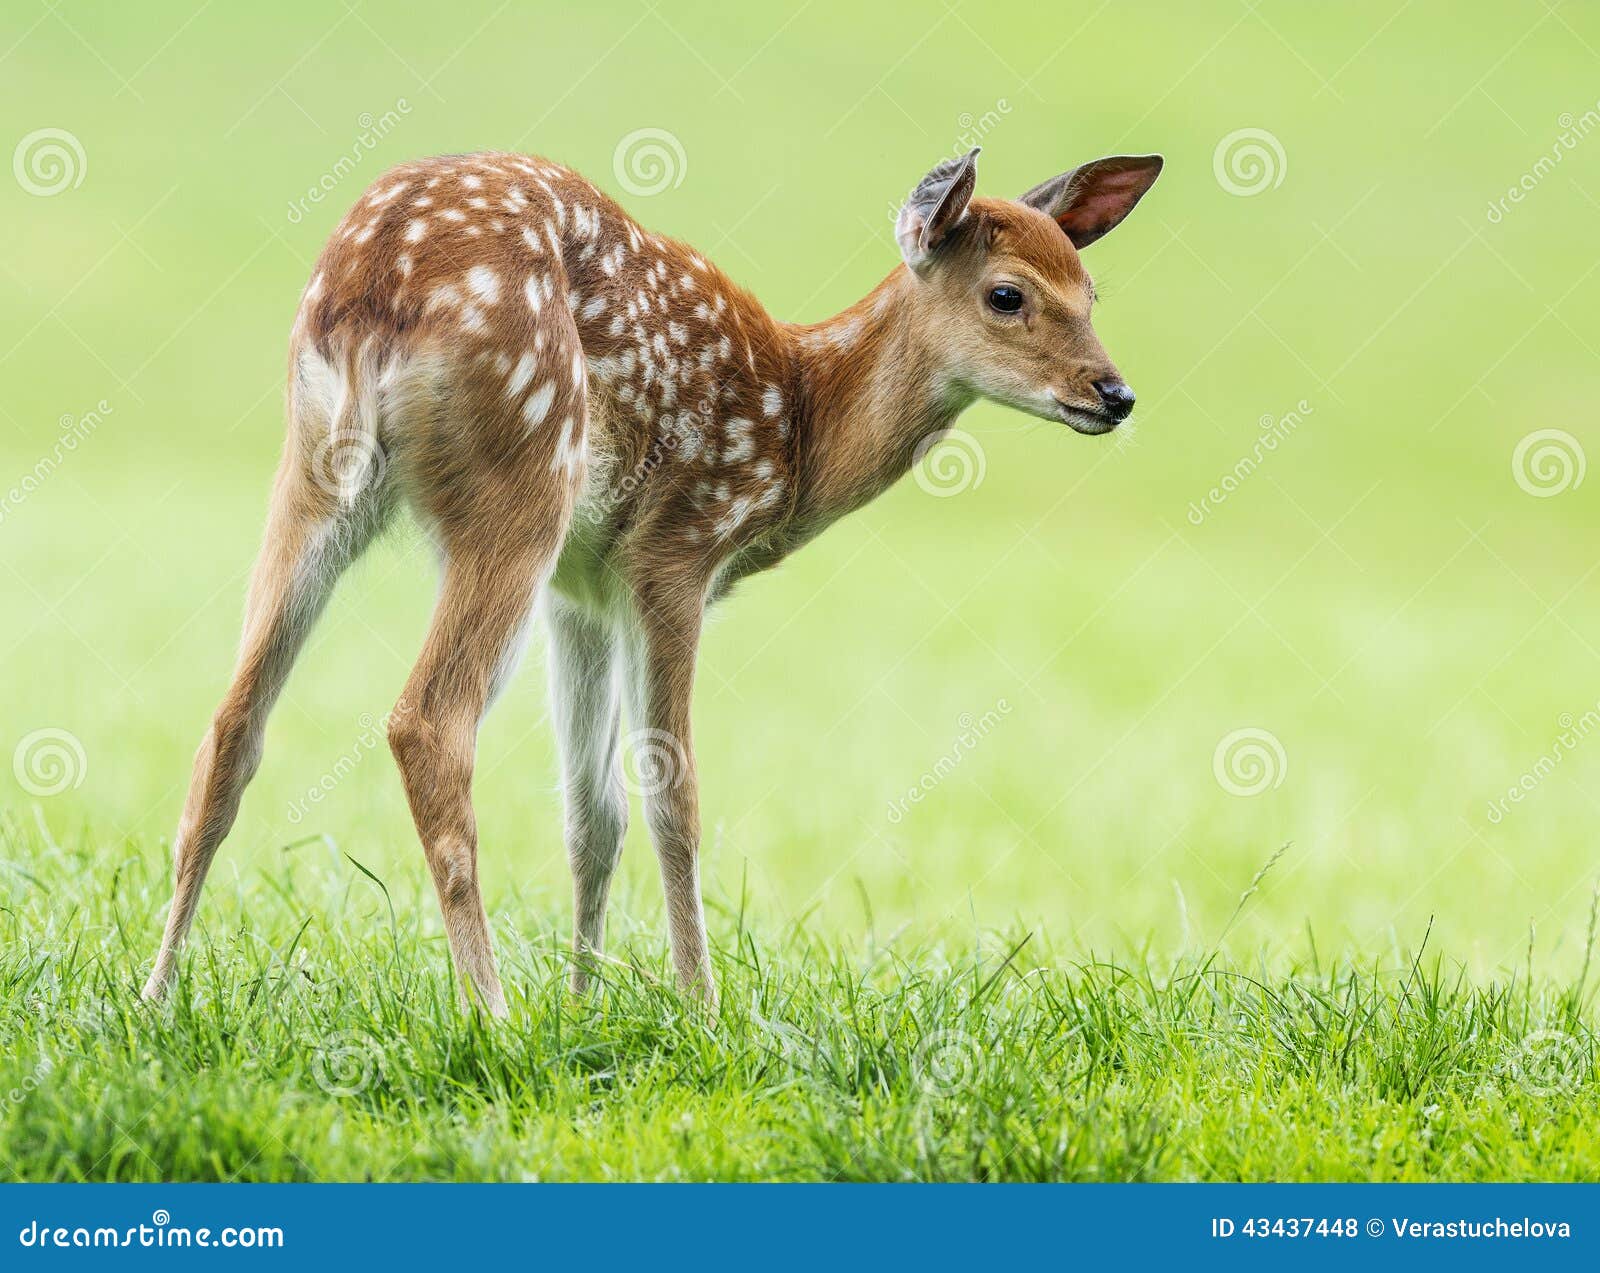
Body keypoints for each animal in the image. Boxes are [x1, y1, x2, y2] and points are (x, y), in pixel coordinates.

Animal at [139, 145, 1162, 1015]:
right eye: (1007, 295)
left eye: (1091, 290)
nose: (1115, 395)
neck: (799, 428)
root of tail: (378, 281)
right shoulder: (675, 551)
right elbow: (674, 796)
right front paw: (703, 1008)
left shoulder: (584, 588)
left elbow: (594, 814)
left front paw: (586, 1002)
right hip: (524, 478)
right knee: (427, 721)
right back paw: (491, 1014)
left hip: (315, 468)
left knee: (233, 723)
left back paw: (155, 996)